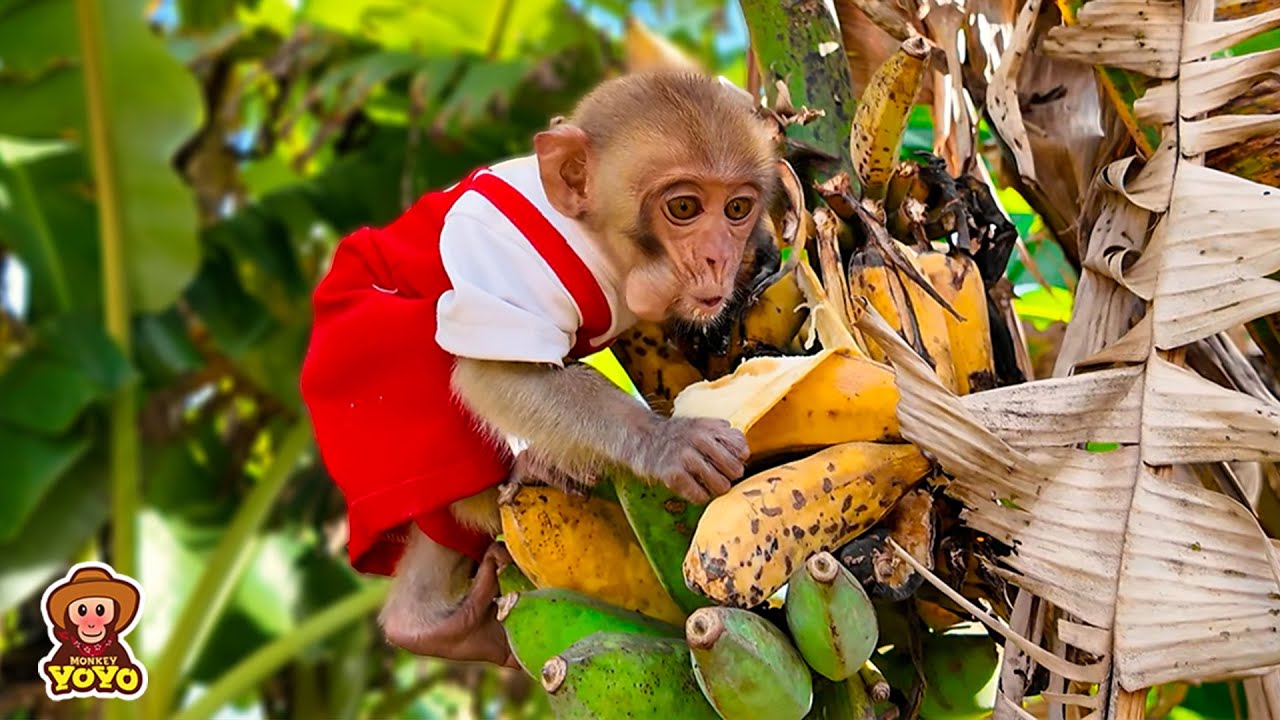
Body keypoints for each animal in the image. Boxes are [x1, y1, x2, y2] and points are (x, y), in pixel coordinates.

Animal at [298, 71, 781, 668]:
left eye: (736, 209)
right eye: (686, 207)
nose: (718, 257)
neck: (599, 245)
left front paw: (757, 262)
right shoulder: (509, 260)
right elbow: (493, 375)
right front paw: (664, 442)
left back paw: (433, 623)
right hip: (353, 361)